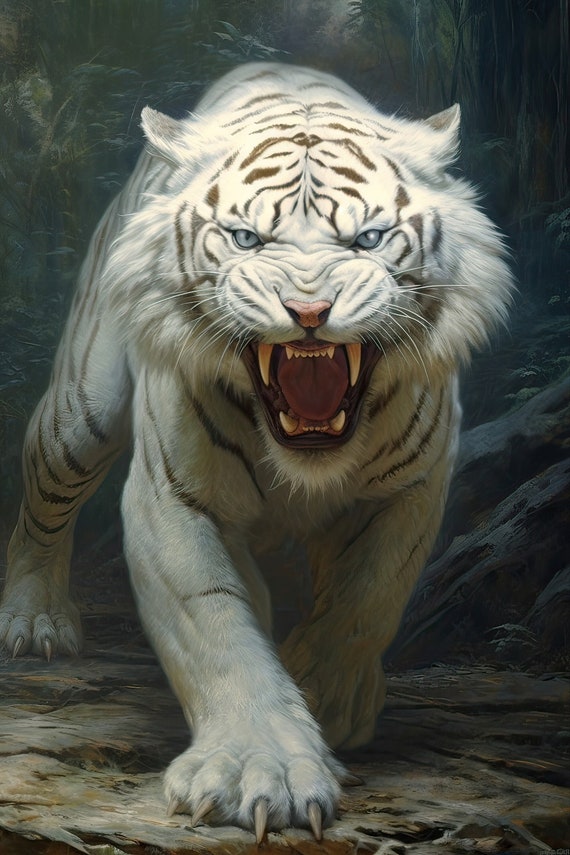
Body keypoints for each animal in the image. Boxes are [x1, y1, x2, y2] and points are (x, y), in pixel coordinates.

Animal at [0, 62, 512, 839]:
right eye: (244, 238)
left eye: (368, 239)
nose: (309, 310)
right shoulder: (172, 498)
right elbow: (217, 626)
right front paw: (259, 771)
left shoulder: (412, 487)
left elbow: (365, 600)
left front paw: (328, 699)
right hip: (82, 408)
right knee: (43, 493)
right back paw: (33, 619)